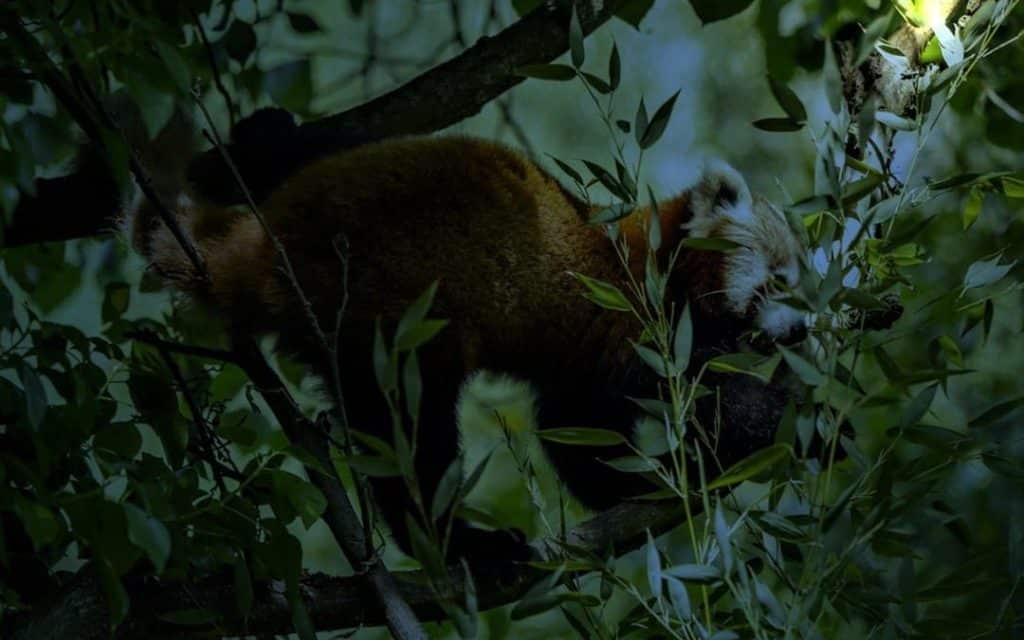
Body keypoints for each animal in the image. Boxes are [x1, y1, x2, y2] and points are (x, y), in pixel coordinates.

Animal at [129, 134, 807, 563]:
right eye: (780, 281)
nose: (801, 331)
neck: (662, 263)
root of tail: (268, 236)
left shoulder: (576, 359)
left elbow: (572, 430)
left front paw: (636, 482)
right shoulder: (636, 323)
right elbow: (683, 402)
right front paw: (773, 424)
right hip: (395, 310)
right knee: (413, 435)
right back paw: (458, 543)